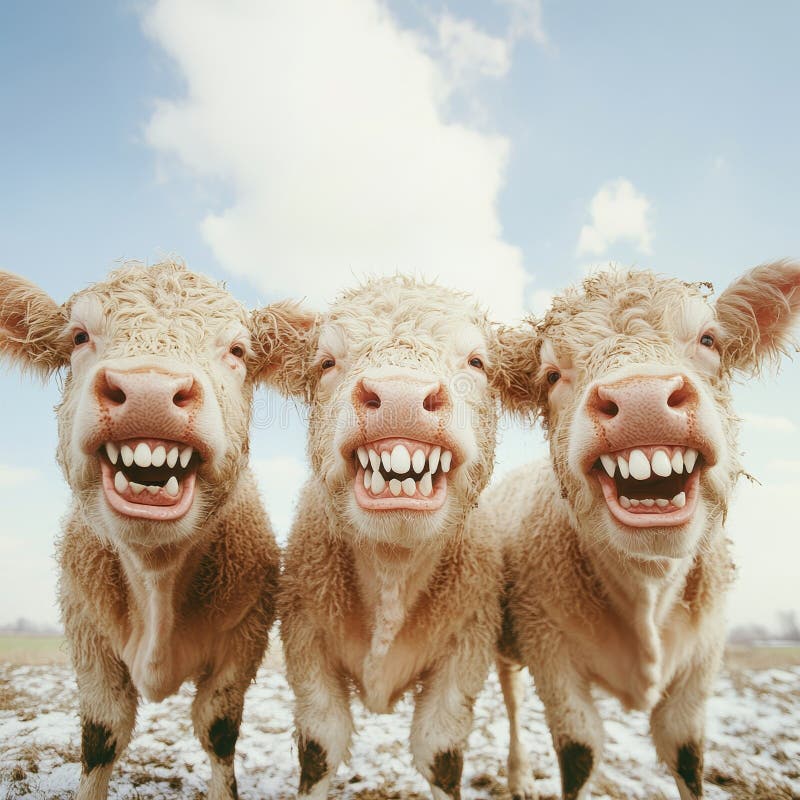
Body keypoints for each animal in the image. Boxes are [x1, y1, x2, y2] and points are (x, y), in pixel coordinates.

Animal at [0, 260, 310, 800]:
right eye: (79, 336)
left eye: (237, 351)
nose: (149, 390)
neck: (155, 572)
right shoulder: (85, 628)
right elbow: (102, 734)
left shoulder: (245, 634)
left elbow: (218, 729)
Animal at [491, 261, 800, 799]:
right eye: (551, 374)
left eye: (709, 339)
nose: (641, 400)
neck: (648, 590)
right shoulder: (551, 652)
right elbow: (578, 755)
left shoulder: (702, 662)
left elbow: (688, 759)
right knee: (510, 699)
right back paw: (519, 775)